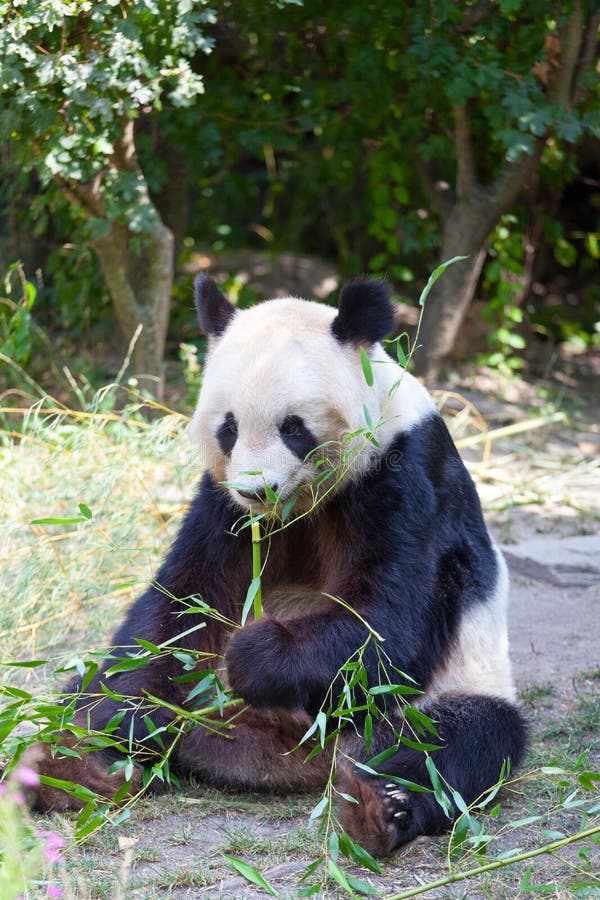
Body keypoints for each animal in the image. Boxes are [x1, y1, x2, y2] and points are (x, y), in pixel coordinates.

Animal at [27, 275, 527, 857]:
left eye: (294, 427)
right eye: (228, 428)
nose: (256, 489)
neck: (300, 503)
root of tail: (290, 758)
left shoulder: (405, 474)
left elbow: (389, 625)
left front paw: (256, 655)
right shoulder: (222, 507)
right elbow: (179, 608)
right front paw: (120, 718)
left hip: (447, 691)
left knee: (453, 744)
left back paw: (375, 805)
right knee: (92, 696)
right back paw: (75, 768)